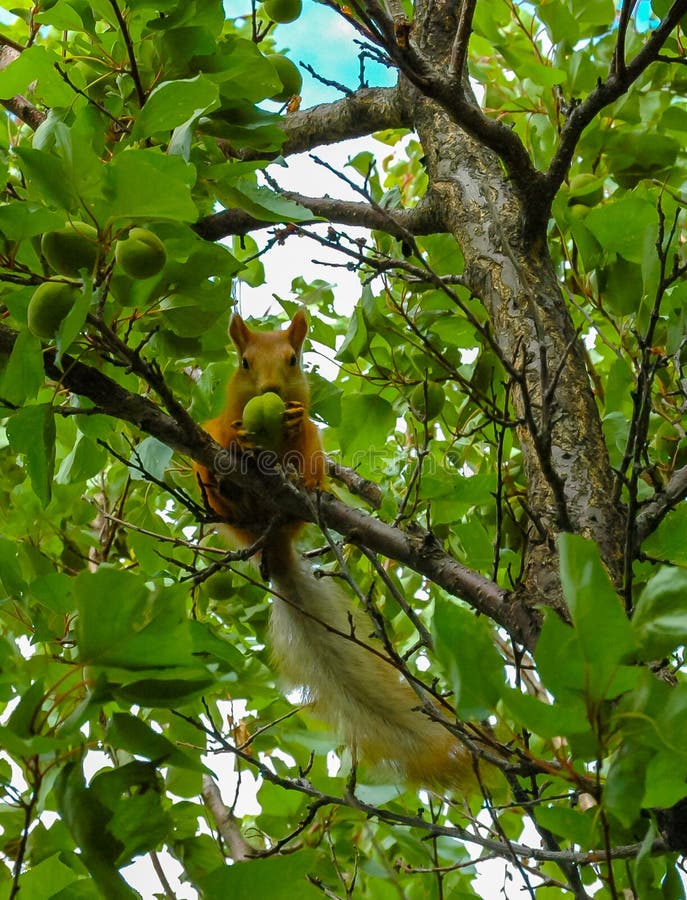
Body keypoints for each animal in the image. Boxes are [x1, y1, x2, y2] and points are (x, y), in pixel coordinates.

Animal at [194, 309, 481, 791]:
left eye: (293, 360)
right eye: (245, 363)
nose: (271, 390)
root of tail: (272, 542)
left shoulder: (306, 430)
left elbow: (300, 425)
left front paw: (290, 419)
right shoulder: (222, 418)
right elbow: (226, 425)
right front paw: (238, 437)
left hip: (309, 464)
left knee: (305, 467)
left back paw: (297, 482)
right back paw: (228, 484)